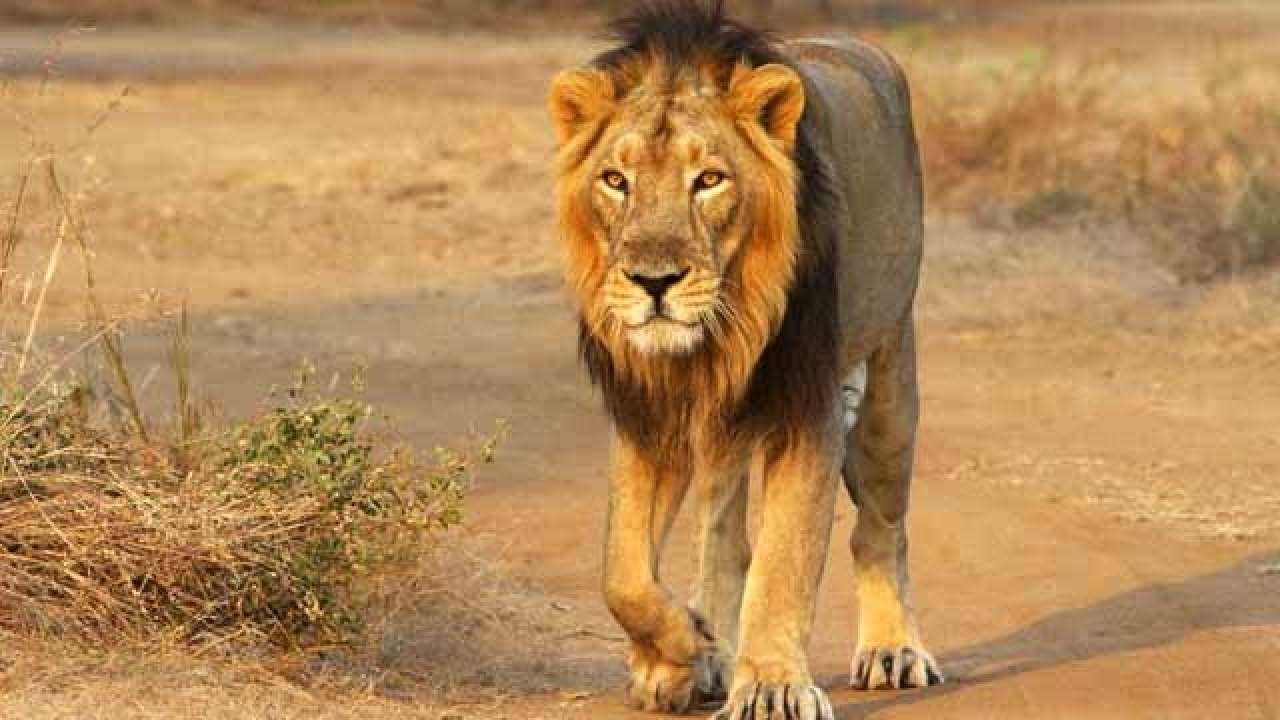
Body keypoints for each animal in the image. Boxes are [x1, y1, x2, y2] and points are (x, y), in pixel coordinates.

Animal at [548, 2, 941, 717]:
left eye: (709, 180)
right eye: (616, 181)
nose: (653, 282)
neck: (712, 344)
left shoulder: (809, 408)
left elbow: (786, 560)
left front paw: (771, 685)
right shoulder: (650, 412)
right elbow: (622, 571)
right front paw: (683, 649)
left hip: (889, 376)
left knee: (881, 526)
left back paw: (893, 647)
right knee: (724, 537)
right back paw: (708, 650)